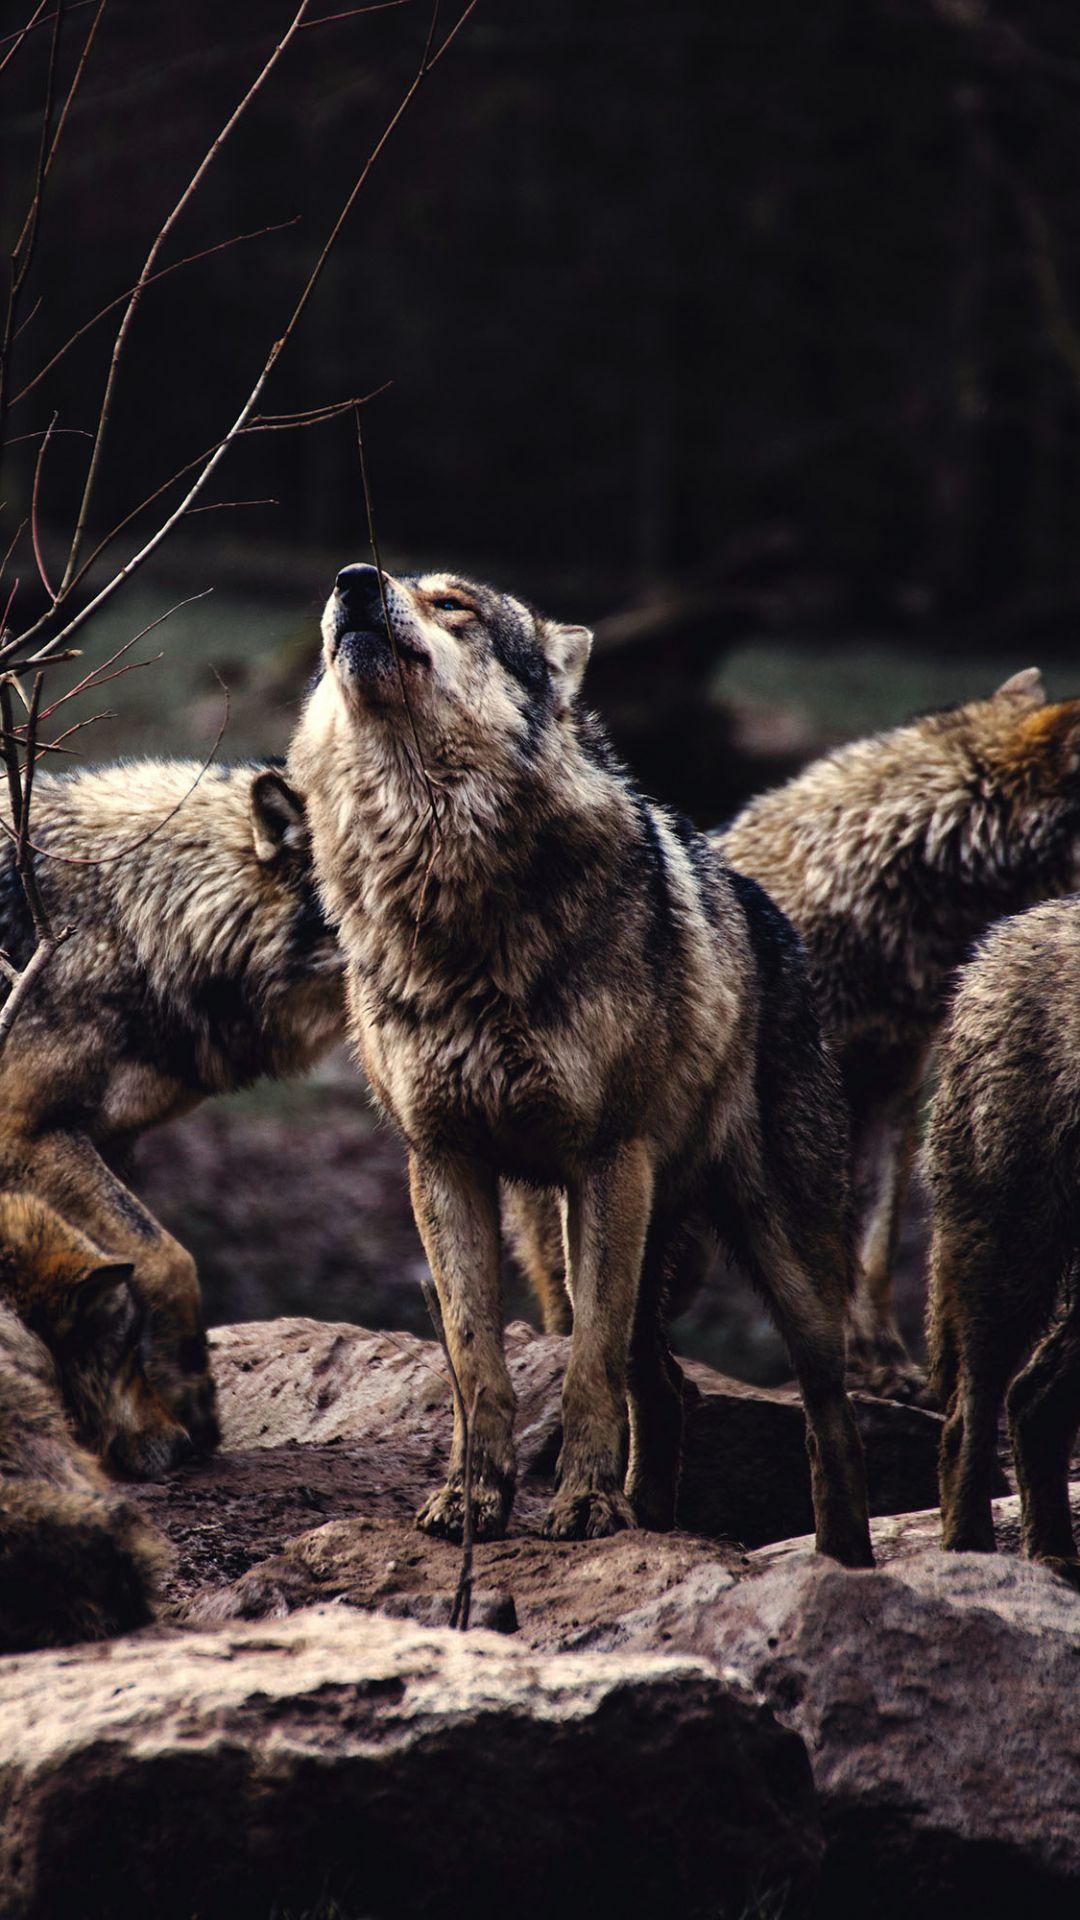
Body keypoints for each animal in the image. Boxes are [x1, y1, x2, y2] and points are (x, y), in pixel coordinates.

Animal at [288, 561, 873, 1563]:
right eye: (374, 582)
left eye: (454, 605)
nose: (355, 580)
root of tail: (768, 910)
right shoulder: (442, 1163)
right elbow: (476, 1361)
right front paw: (473, 1501)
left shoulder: (605, 1160)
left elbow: (586, 1371)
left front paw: (588, 1509)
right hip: (577, 1237)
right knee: (669, 1388)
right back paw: (655, 1519)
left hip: (776, 1255)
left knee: (825, 1413)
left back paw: (843, 1560)